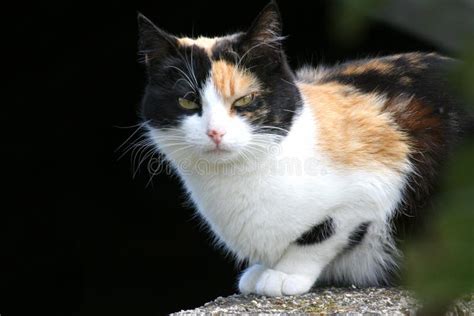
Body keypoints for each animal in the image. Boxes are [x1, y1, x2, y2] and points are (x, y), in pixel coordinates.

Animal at [135, 1, 472, 296]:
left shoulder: (381, 177)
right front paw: (263, 268)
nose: (215, 132)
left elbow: (322, 234)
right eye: (187, 101)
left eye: (245, 100)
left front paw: (284, 273)